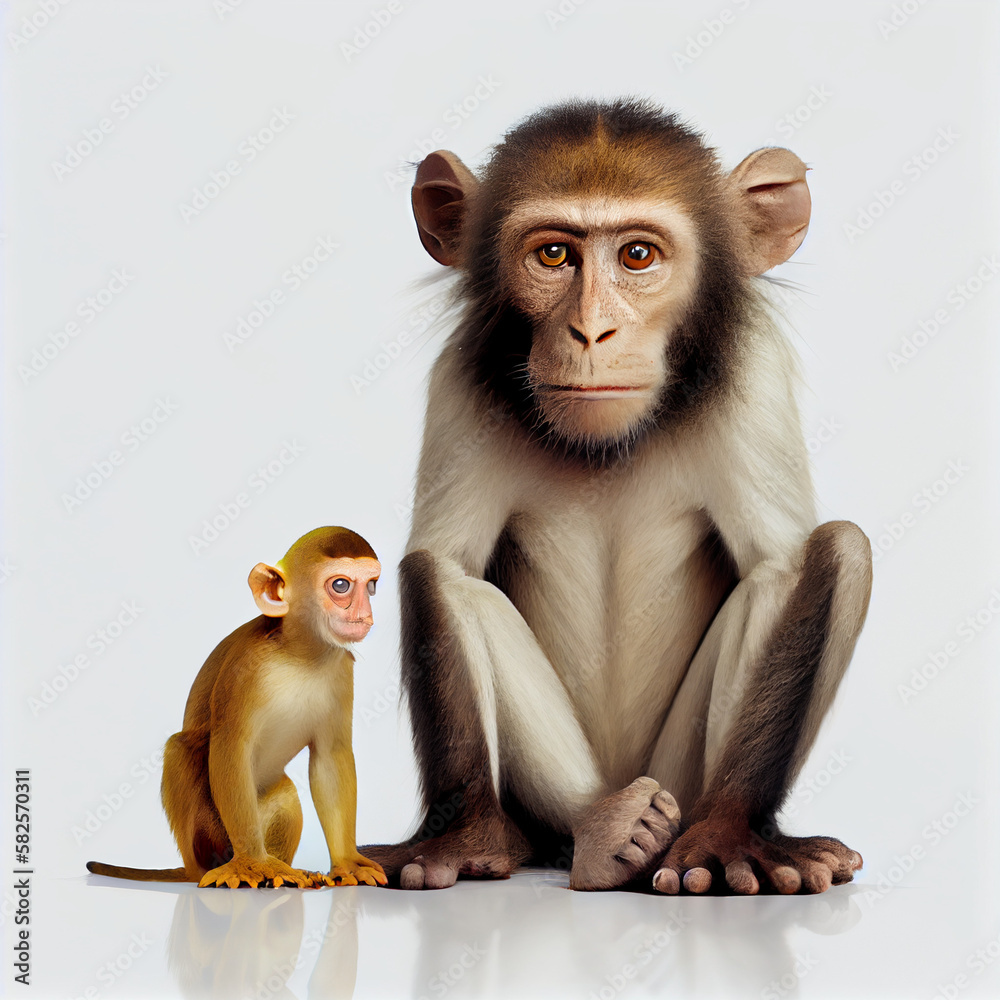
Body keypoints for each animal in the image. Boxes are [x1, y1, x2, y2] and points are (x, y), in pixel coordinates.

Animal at [87, 526, 388, 889]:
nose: (365, 615)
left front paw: (346, 862)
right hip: (208, 837)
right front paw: (252, 863)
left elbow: (330, 757)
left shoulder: (341, 670)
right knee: (181, 749)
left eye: (371, 586)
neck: (301, 654)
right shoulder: (245, 667)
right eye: (341, 585)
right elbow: (231, 747)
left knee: (284, 792)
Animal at [363, 98, 872, 895]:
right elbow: (446, 564)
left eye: (637, 256)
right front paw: (458, 834)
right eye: (553, 256)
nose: (591, 329)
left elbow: (785, 568)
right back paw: (592, 835)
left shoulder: (752, 370)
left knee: (840, 549)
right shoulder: (461, 377)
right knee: (442, 577)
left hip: (676, 776)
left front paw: (733, 836)